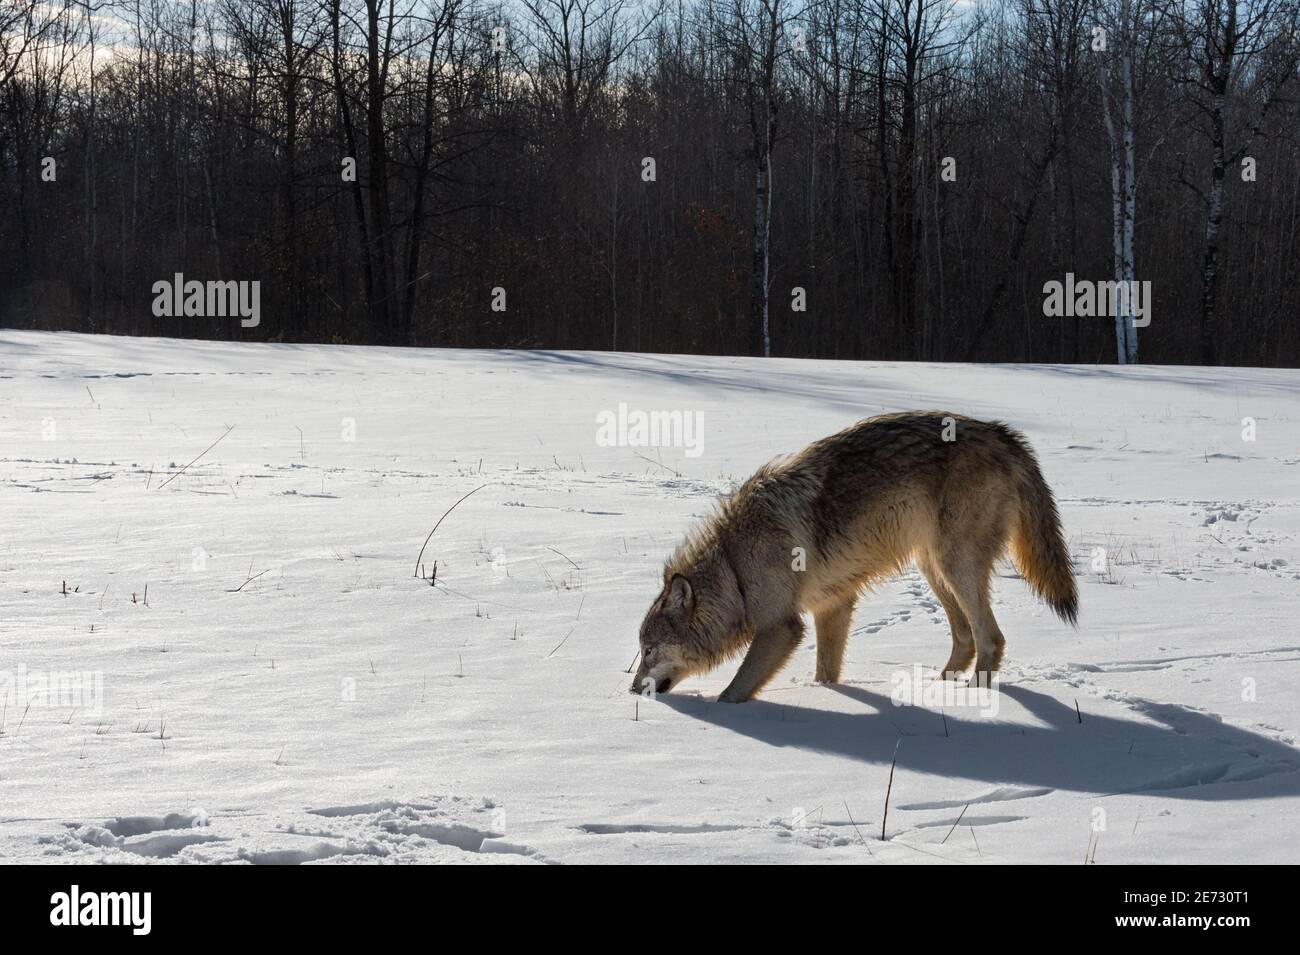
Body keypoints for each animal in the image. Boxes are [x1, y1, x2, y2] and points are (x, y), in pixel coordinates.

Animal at [633, 412, 1077, 702]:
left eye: (649, 651)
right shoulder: (832, 605)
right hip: (931, 566)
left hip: (955, 566)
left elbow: (734, 691)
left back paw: (970, 700)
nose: (633, 691)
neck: (734, 564)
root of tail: (1003, 433)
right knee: (964, 636)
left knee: (991, 638)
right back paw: (938, 687)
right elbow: (826, 672)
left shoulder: (781, 627)